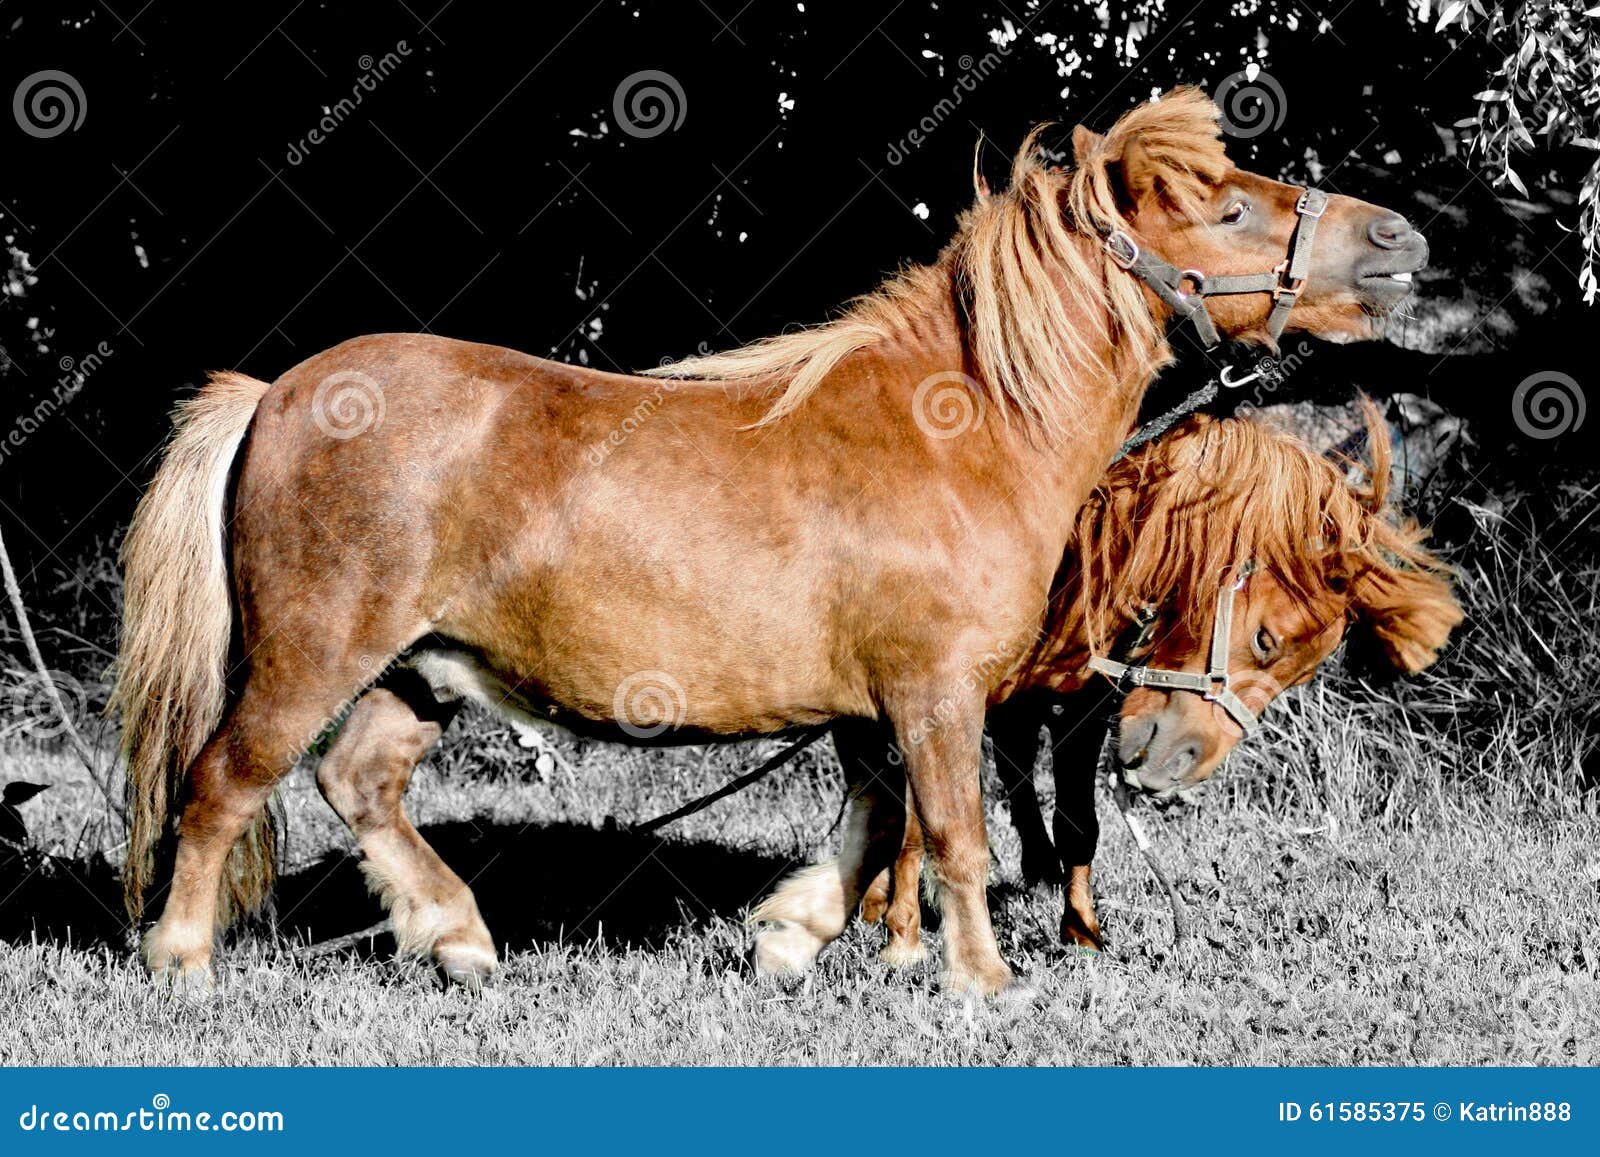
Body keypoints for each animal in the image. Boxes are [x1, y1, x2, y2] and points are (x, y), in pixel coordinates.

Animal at [796, 401, 1460, 968]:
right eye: (1266, 639)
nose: (1175, 768)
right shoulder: (928, 698)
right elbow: (915, 823)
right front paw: (901, 932)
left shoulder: (1081, 705)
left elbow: (1077, 821)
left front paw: (1081, 933)